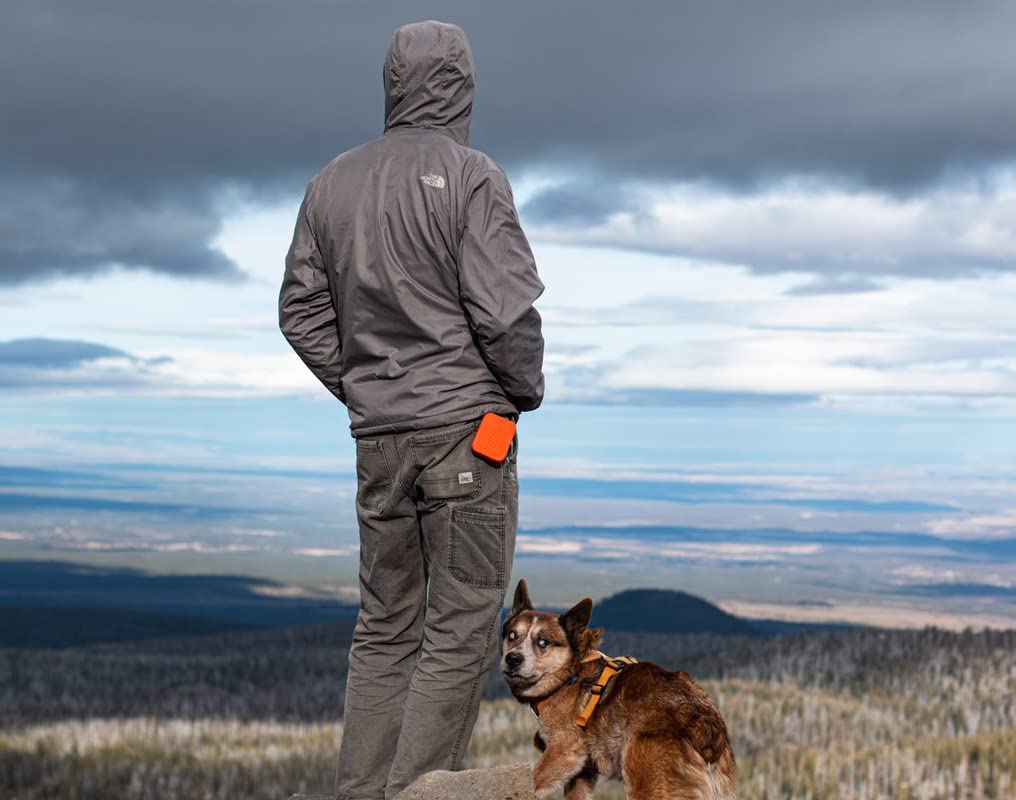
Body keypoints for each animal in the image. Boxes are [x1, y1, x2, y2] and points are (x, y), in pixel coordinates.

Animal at [501, 577, 735, 796]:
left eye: (542, 642)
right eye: (512, 635)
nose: (512, 659)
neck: (570, 674)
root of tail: (705, 727)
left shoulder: (564, 752)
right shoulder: (583, 773)